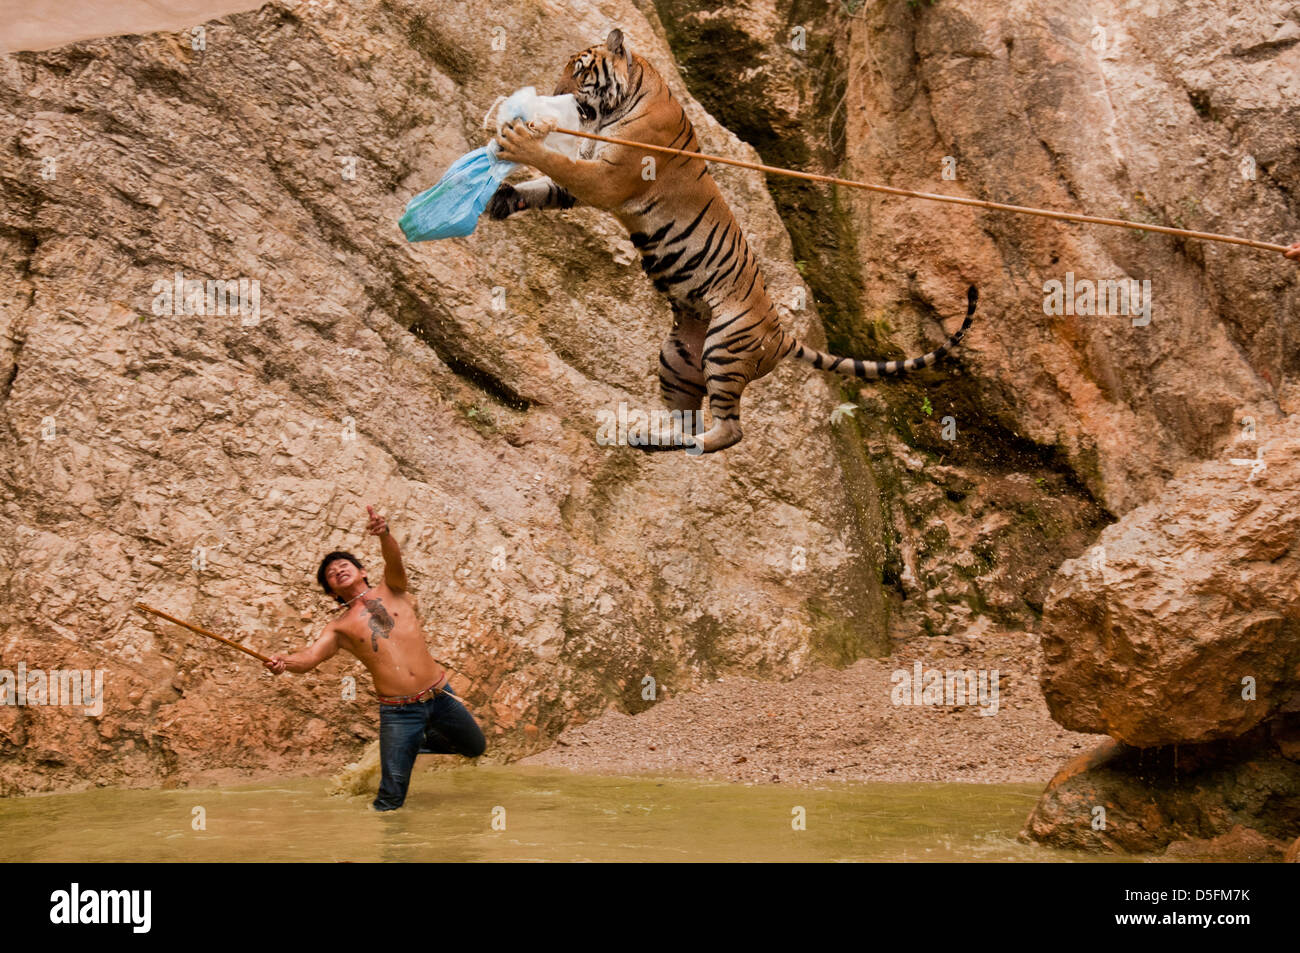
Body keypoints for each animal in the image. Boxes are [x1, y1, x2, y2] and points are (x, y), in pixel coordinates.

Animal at [489, 28, 977, 454]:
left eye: (580, 71)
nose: (555, 93)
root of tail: (781, 334)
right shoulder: (587, 173)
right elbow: (544, 187)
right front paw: (500, 197)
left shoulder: (607, 178)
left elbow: (555, 164)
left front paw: (518, 142)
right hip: (677, 355)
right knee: (690, 418)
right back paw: (652, 439)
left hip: (725, 346)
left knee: (730, 431)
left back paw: (687, 444)